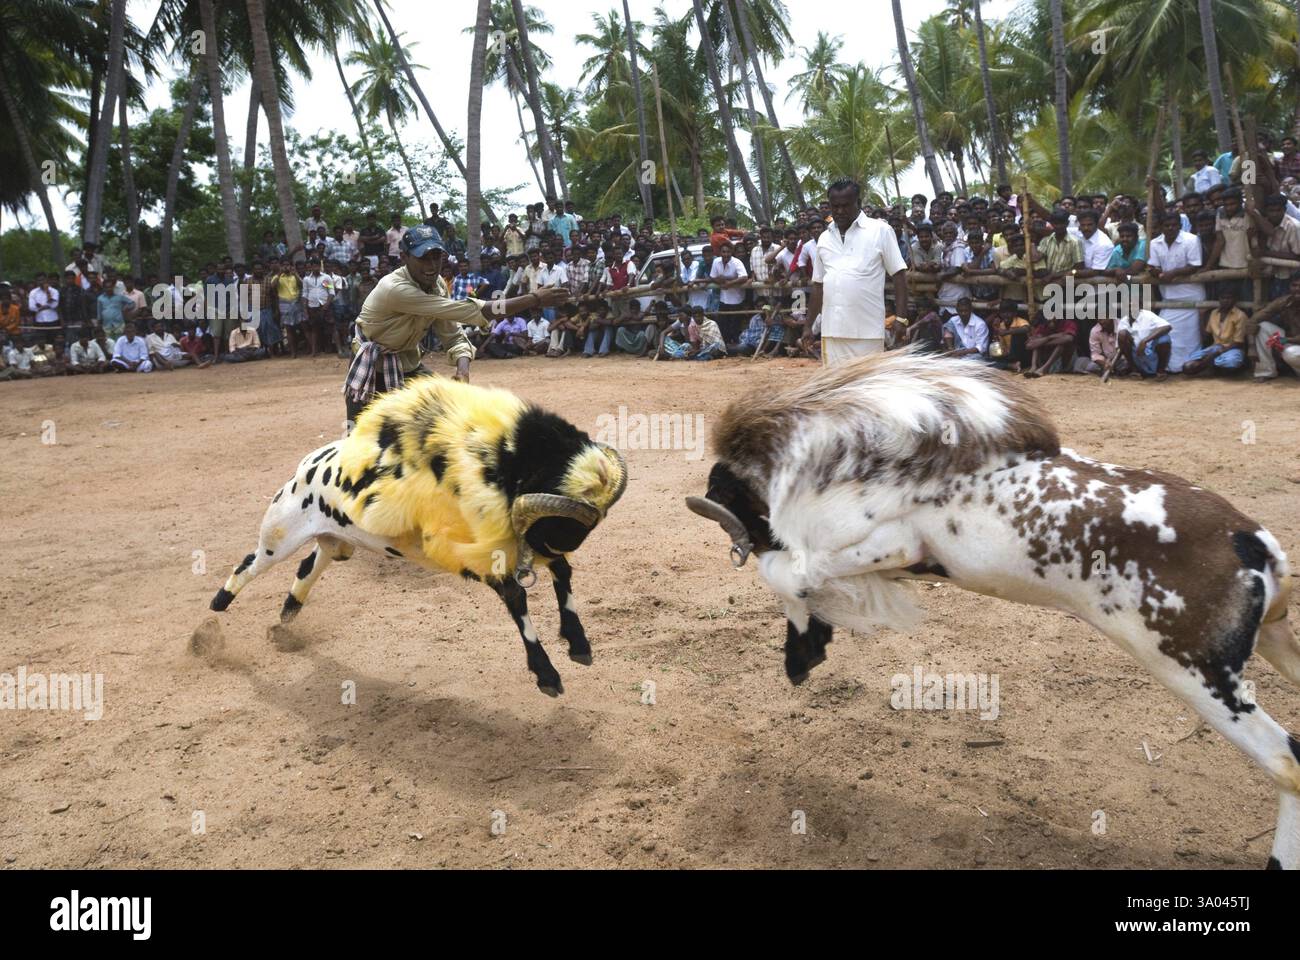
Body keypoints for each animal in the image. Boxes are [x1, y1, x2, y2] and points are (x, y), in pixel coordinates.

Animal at [211, 375, 627, 695]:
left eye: (587, 525)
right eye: (557, 523)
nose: (553, 546)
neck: (506, 463)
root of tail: (306, 465)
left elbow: (562, 573)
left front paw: (578, 644)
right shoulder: (477, 554)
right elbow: (518, 598)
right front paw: (547, 675)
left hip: (337, 540)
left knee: (309, 564)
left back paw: (287, 615)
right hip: (280, 532)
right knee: (250, 564)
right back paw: (214, 615)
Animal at [688, 349, 1299, 868]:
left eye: (738, 513)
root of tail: (1253, 544)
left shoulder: (885, 546)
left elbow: (791, 573)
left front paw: (803, 652)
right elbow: (797, 579)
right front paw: (805, 649)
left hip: (1197, 672)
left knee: (1288, 763)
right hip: (1274, 641)